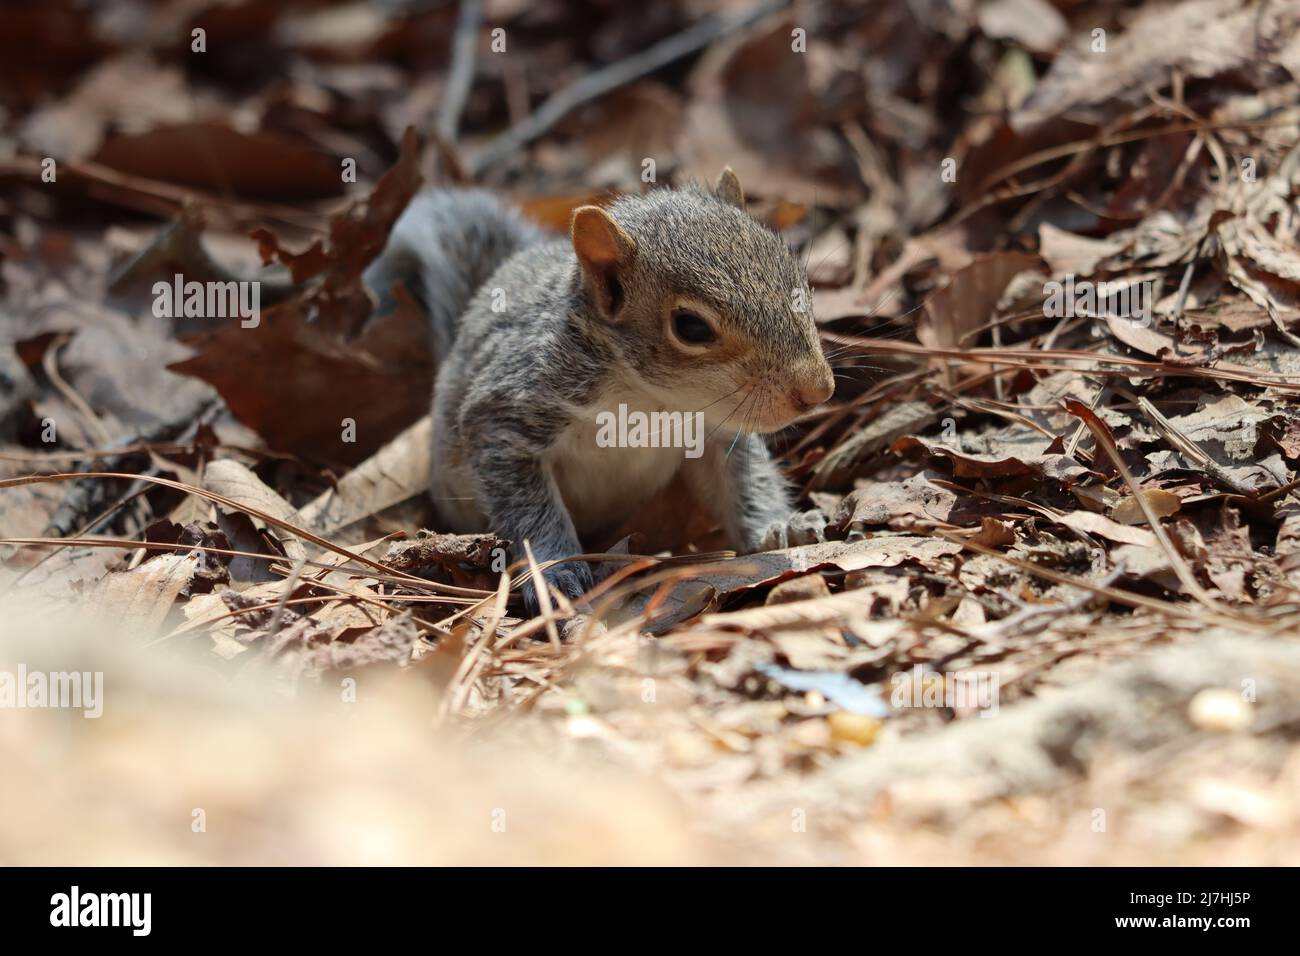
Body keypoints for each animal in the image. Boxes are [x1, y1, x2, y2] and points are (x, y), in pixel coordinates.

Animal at [364, 168, 835, 611]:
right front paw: (556, 571)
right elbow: (529, 506)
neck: (653, 401)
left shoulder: (715, 430)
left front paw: (776, 527)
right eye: (691, 326)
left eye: (797, 278)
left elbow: (746, 481)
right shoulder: (509, 415)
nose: (818, 390)